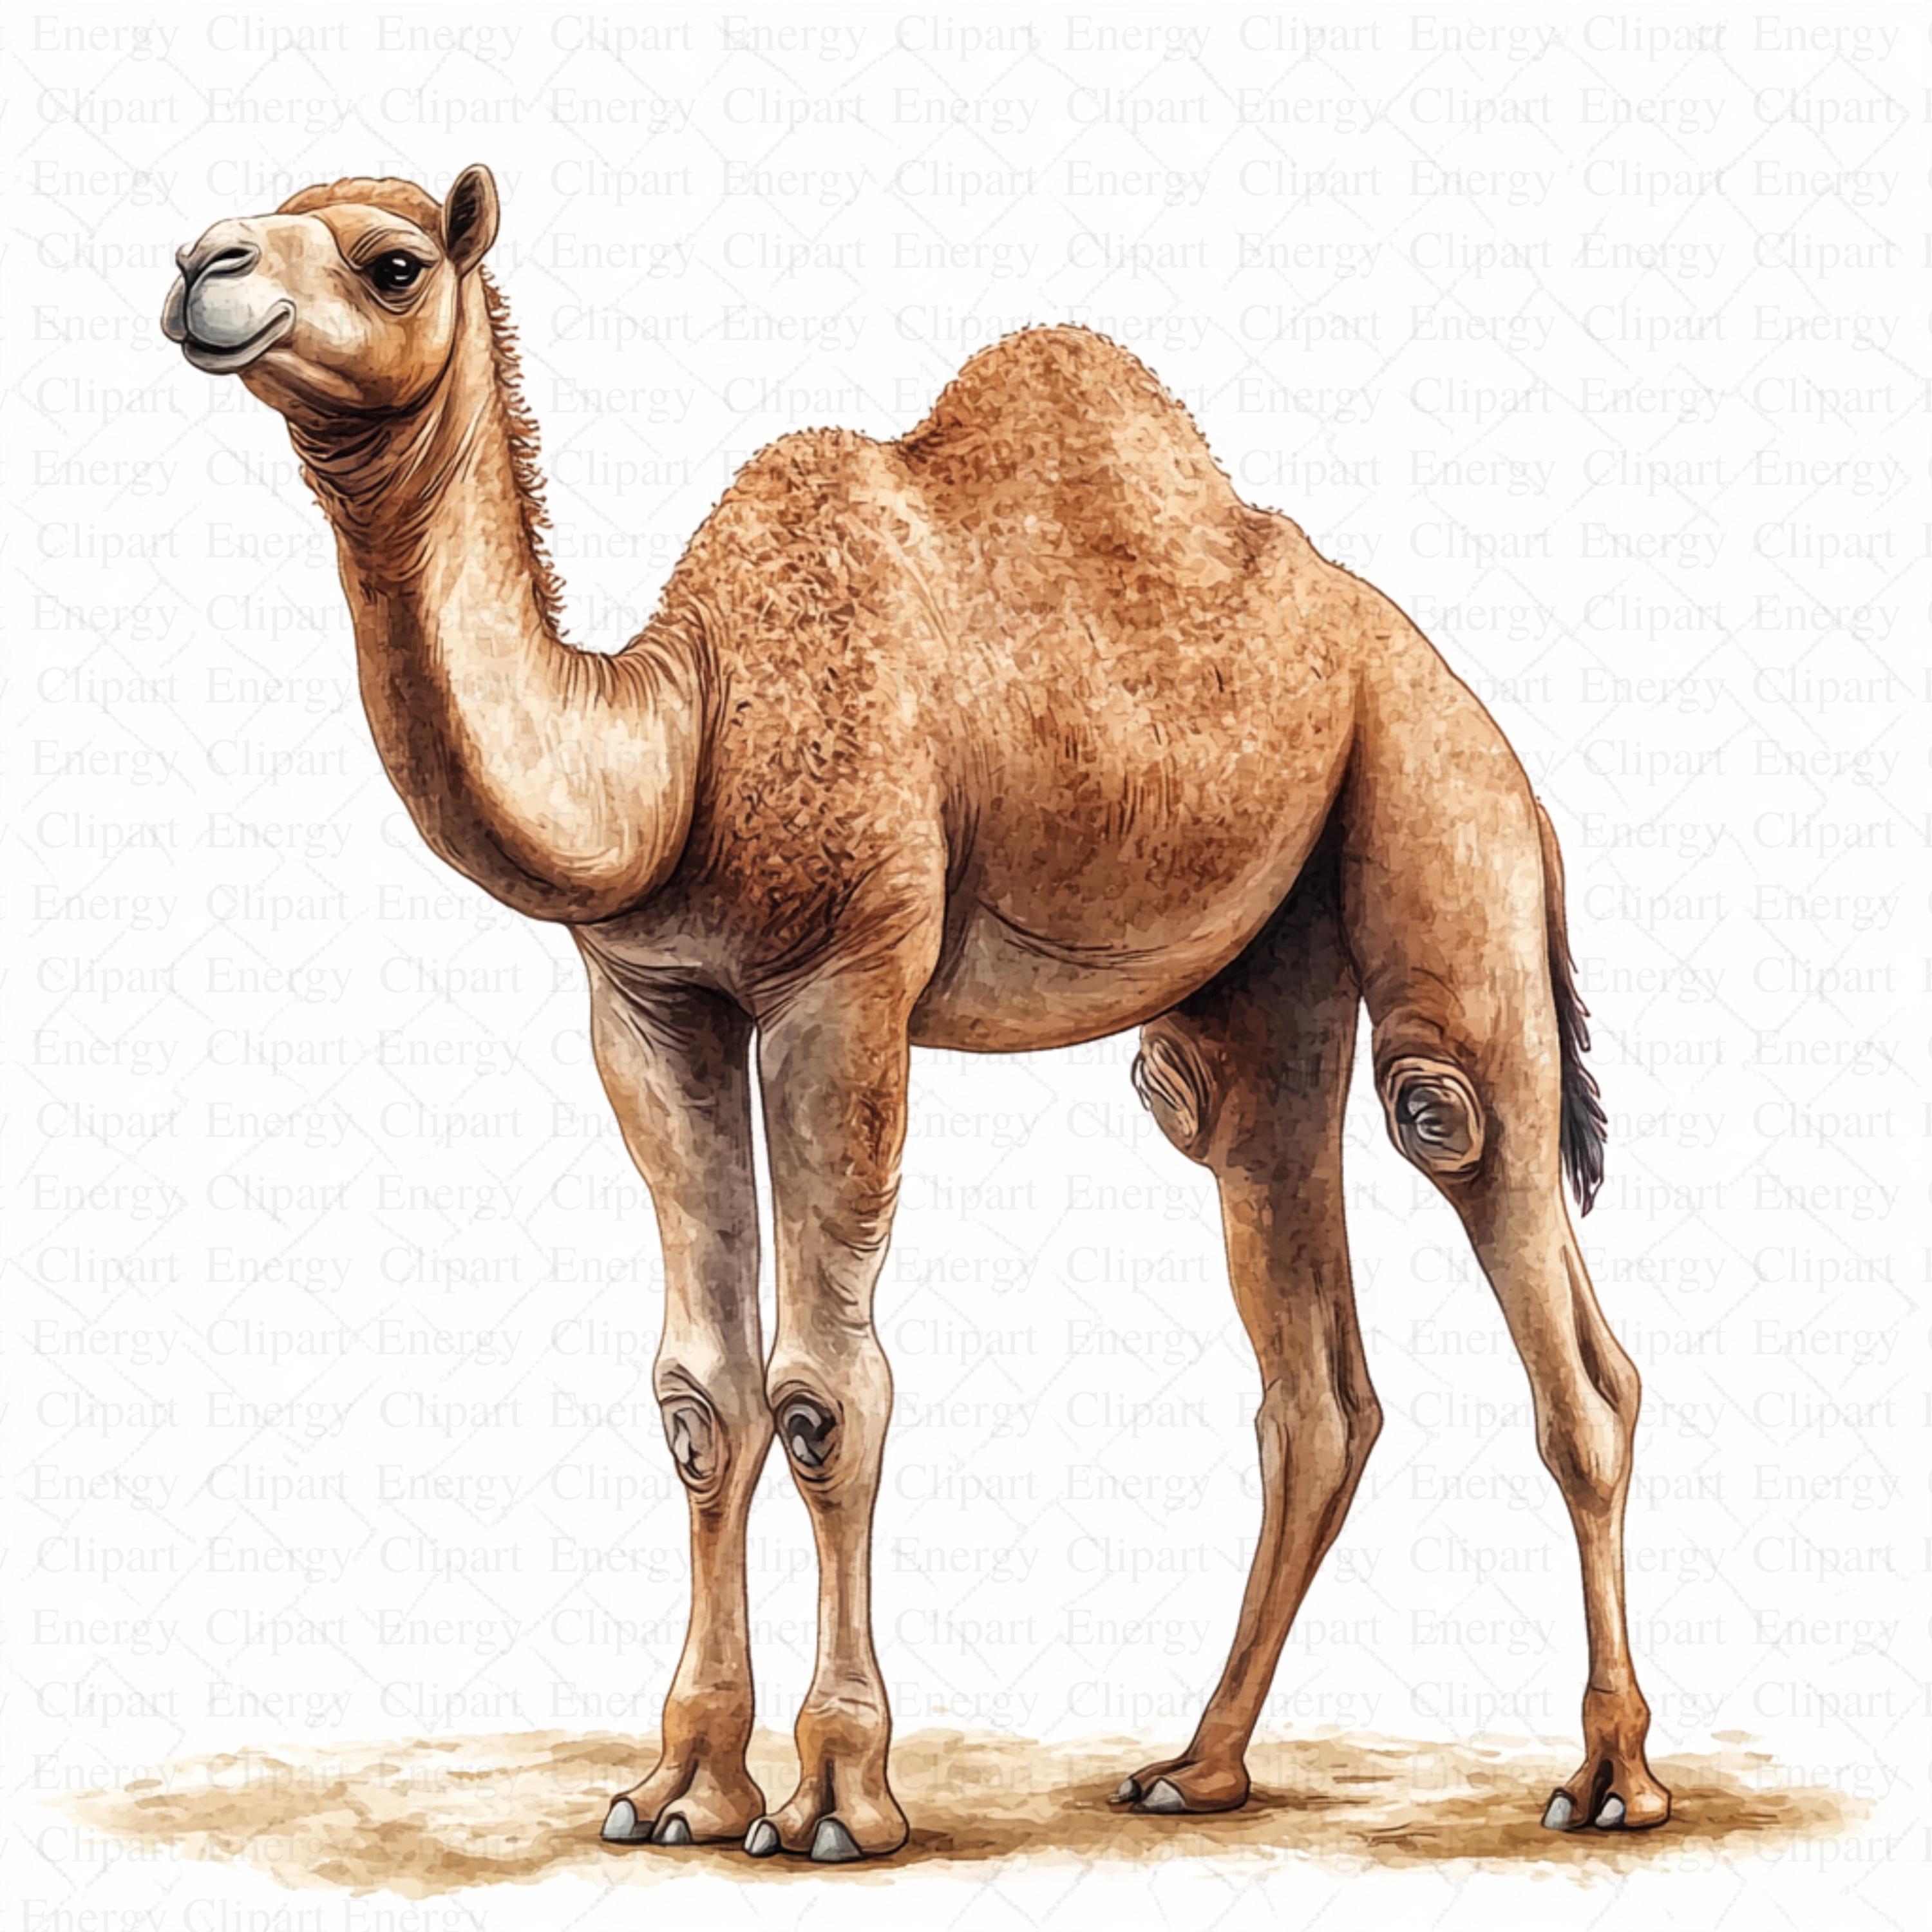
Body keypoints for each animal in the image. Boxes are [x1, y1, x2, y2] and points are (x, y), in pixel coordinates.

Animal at [162, 166, 1671, 1863]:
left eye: (393, 260)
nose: (203, 268)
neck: (683, 744)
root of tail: (1497, 744)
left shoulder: (849, 977)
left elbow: (827, 1395)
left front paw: (837, 1798)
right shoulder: (656, 1002)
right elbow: (702, 1396)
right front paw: (679, 1788)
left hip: (1435, 805)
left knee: (1496, 1198)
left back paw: (1612, 1780)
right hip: (1261, 973)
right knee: (1299, 1326)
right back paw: (1194, 1765)